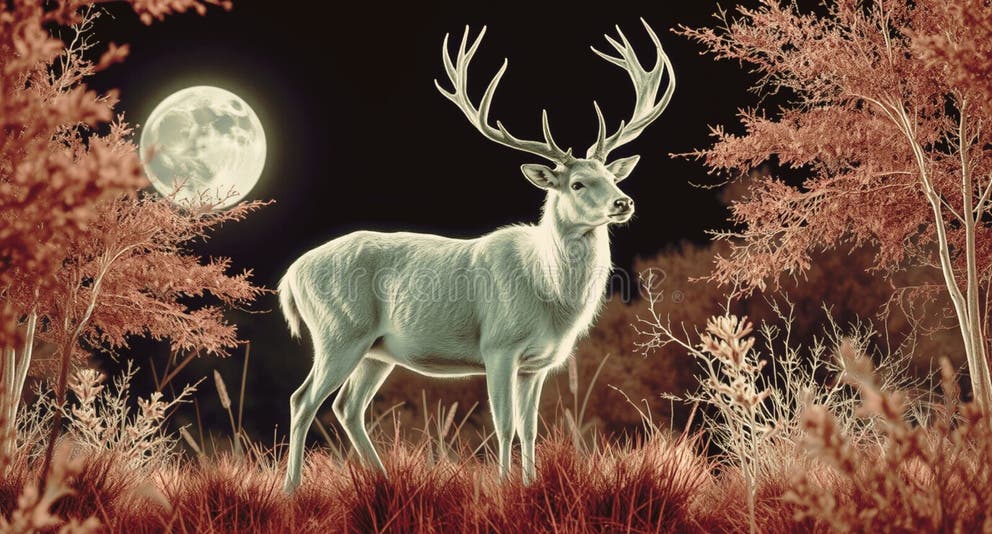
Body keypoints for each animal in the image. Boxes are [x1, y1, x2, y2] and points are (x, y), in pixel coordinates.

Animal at [280, 19, 674, 492]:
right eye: (577, 183)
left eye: (611, 176)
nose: (624, 202)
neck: (547, 290)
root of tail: (290, 275)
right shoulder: (499, 345)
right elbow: (504, 425)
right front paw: (503, 488)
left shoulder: (537, 364)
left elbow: (530, 428)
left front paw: (529, 487)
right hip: (338, 331)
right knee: (303, 400)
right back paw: (291, 490)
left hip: (374, 350)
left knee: (346, 406)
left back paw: (385, 482)